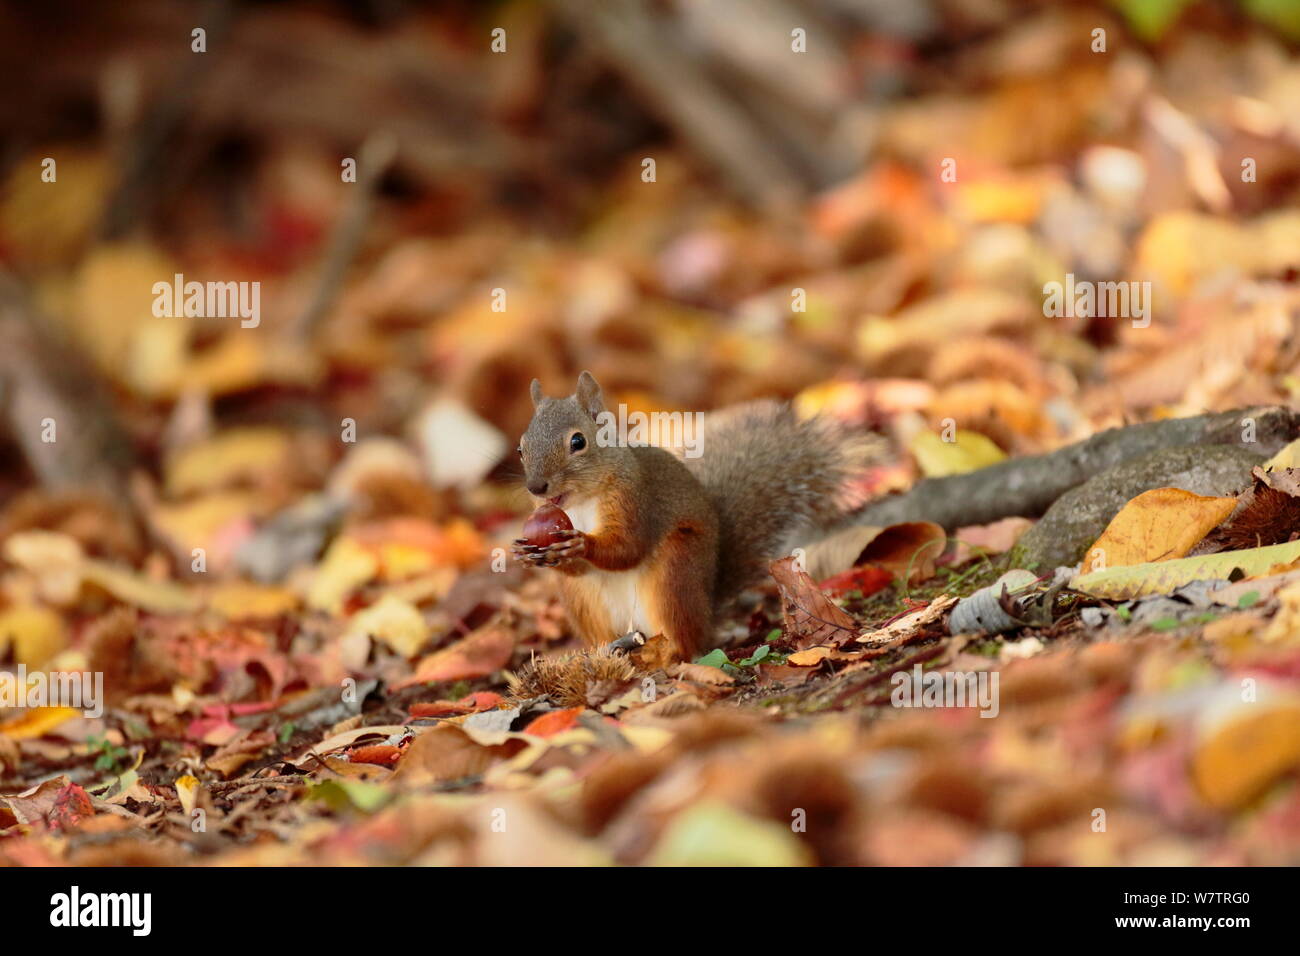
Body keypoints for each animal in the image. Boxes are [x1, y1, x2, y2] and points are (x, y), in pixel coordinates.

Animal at [511, 371, 876, 659]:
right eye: (521, 448)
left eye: (578, 441)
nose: (536, 487)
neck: (582, 501)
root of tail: (707, 614)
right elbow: (577, 567)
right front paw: (527, 553)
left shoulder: (637, 499)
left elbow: (628, 547)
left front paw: (580, 544)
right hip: (583, 602)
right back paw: (602, 653)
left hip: (676, 574)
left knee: (688, 644)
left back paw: (671, 652)